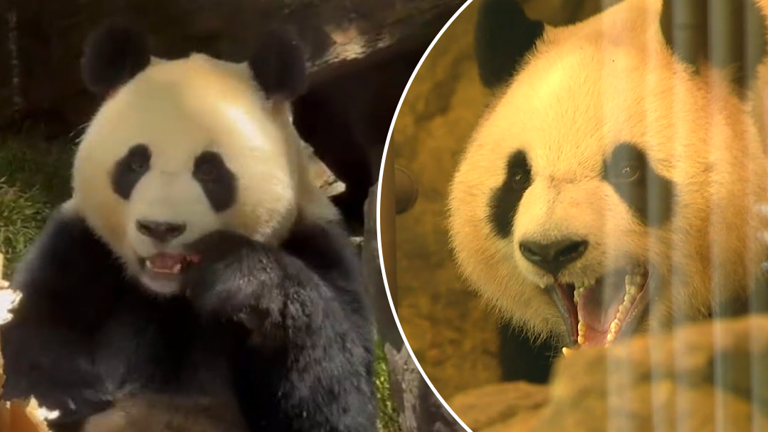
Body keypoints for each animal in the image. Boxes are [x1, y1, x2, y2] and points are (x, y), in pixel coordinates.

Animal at [0, 21, 378, 432]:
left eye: (209, 170)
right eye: (135, 163)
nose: (160, 228)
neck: (170, 295)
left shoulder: (317, 243)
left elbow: (338, 399)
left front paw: (240, 276)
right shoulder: (81, 245)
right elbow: (31, 333)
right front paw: (64, 400)